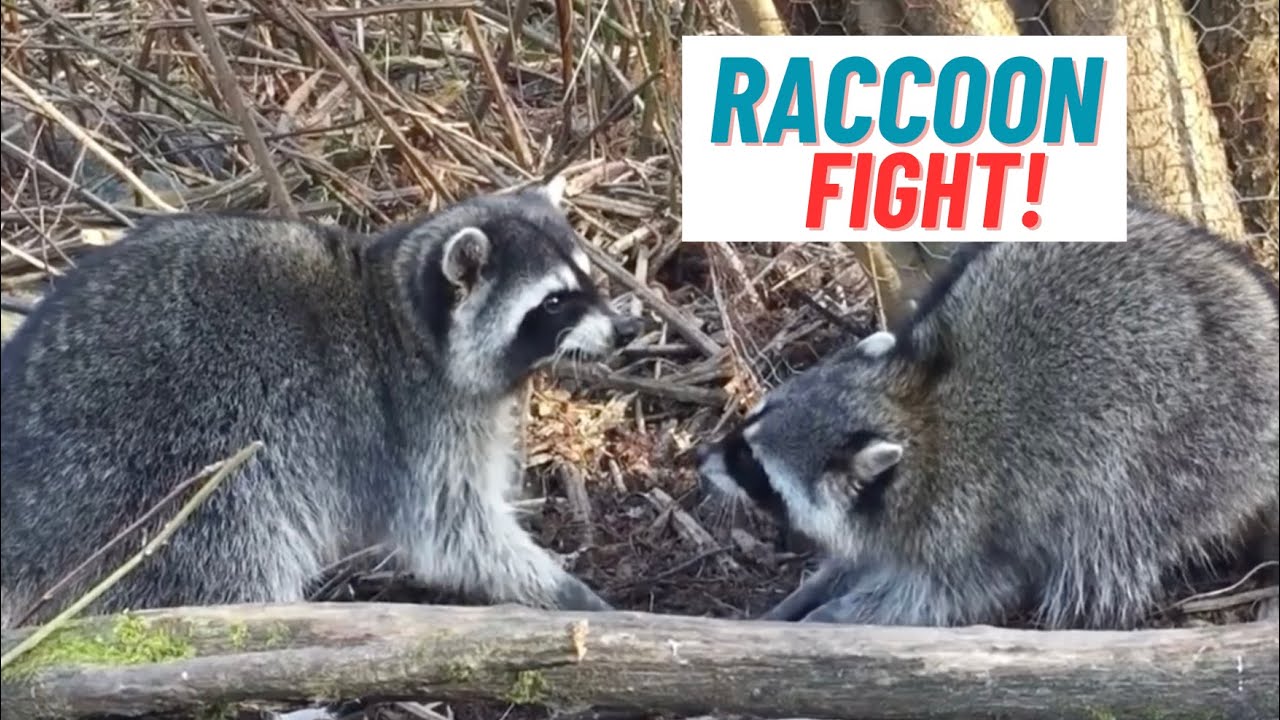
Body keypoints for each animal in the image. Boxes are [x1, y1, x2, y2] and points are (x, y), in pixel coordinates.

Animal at [0, 177, 639, 628]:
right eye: (553, 302)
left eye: (588, 279)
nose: (625, 330)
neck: (403, 312)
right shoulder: (416, 422)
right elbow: (454, 528)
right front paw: (559, 588)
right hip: (174, 474)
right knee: (234, 553)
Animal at [697, 204, 1280, 629]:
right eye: (751, 418)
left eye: (752, 464)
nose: (702, 460)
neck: (916, 414)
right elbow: (864, 557)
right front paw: (808, 594)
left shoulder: (965, 527)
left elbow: (952, 594)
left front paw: (836, 614)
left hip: (1185, 443)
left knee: (1111, 531)